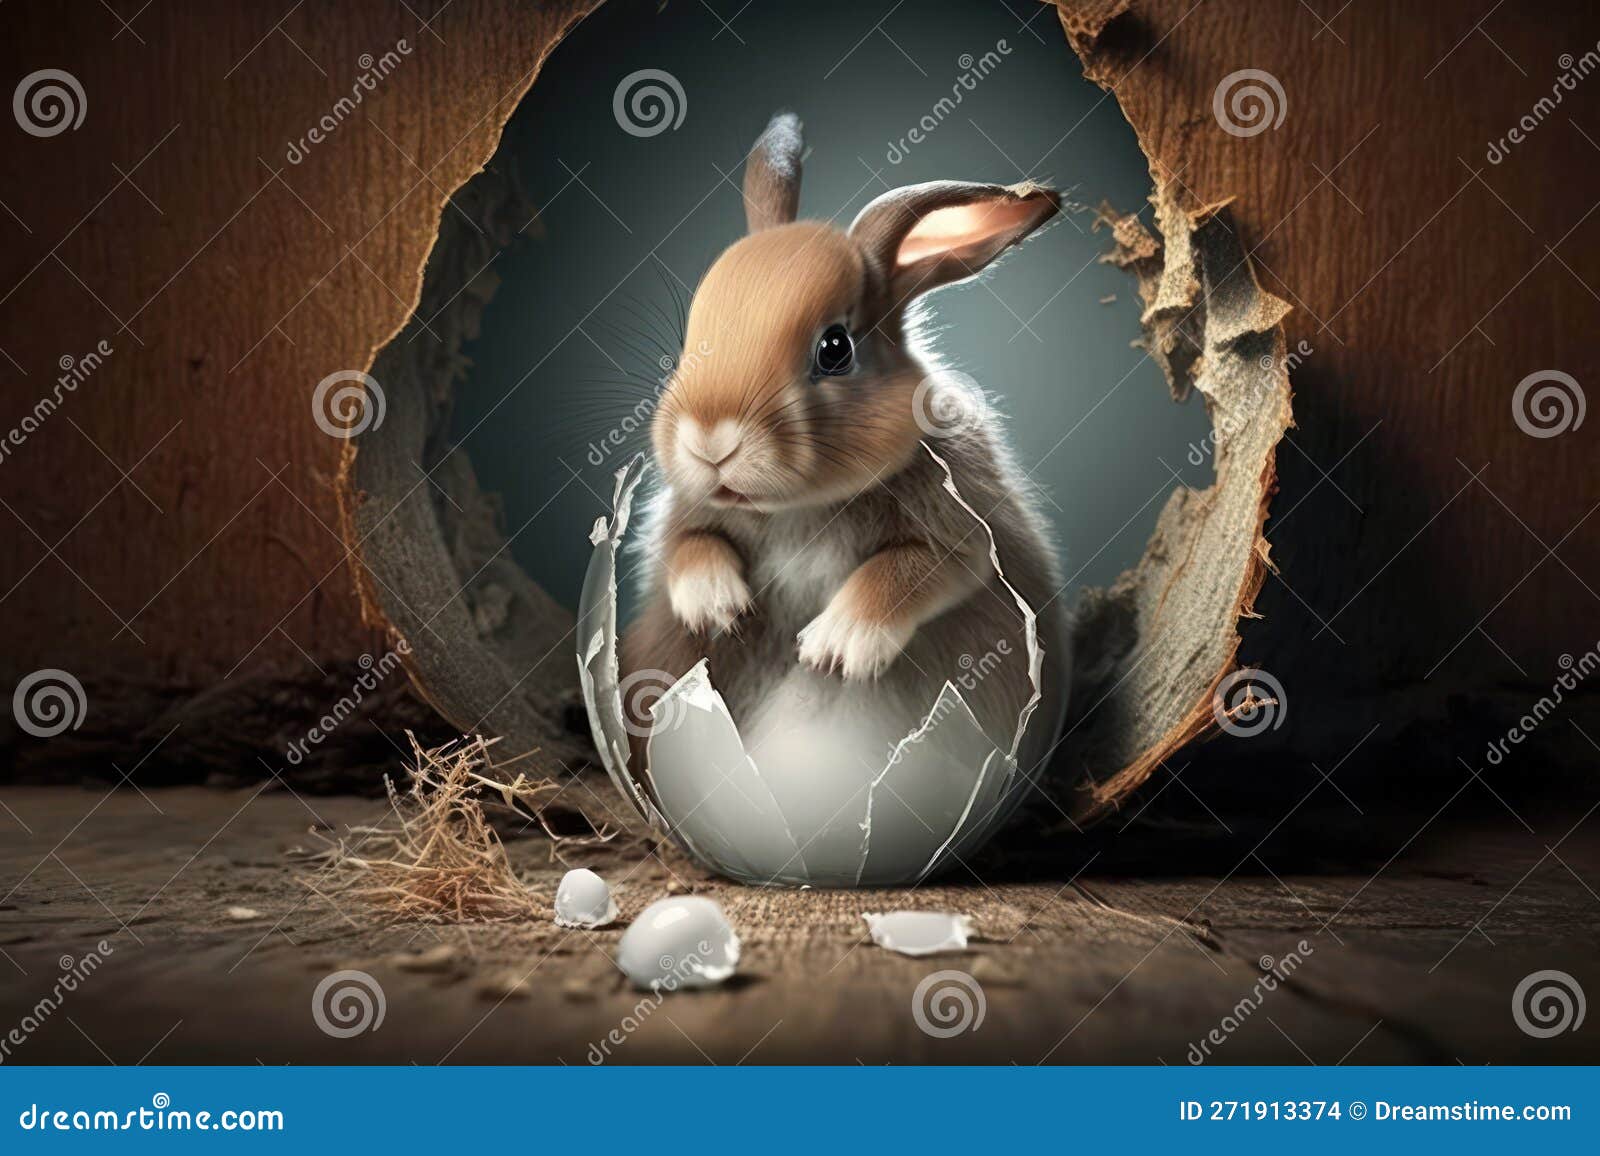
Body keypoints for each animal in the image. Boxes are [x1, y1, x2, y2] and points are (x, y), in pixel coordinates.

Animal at [621, 111, 1068, 798]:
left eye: (835, 349)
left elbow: (915, 568)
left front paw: (836, 645)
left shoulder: (964, 529)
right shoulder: (684, 520)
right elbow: (688, 547)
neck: (795, 509)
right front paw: (718, 605)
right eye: (690, 338)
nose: (710, 442)